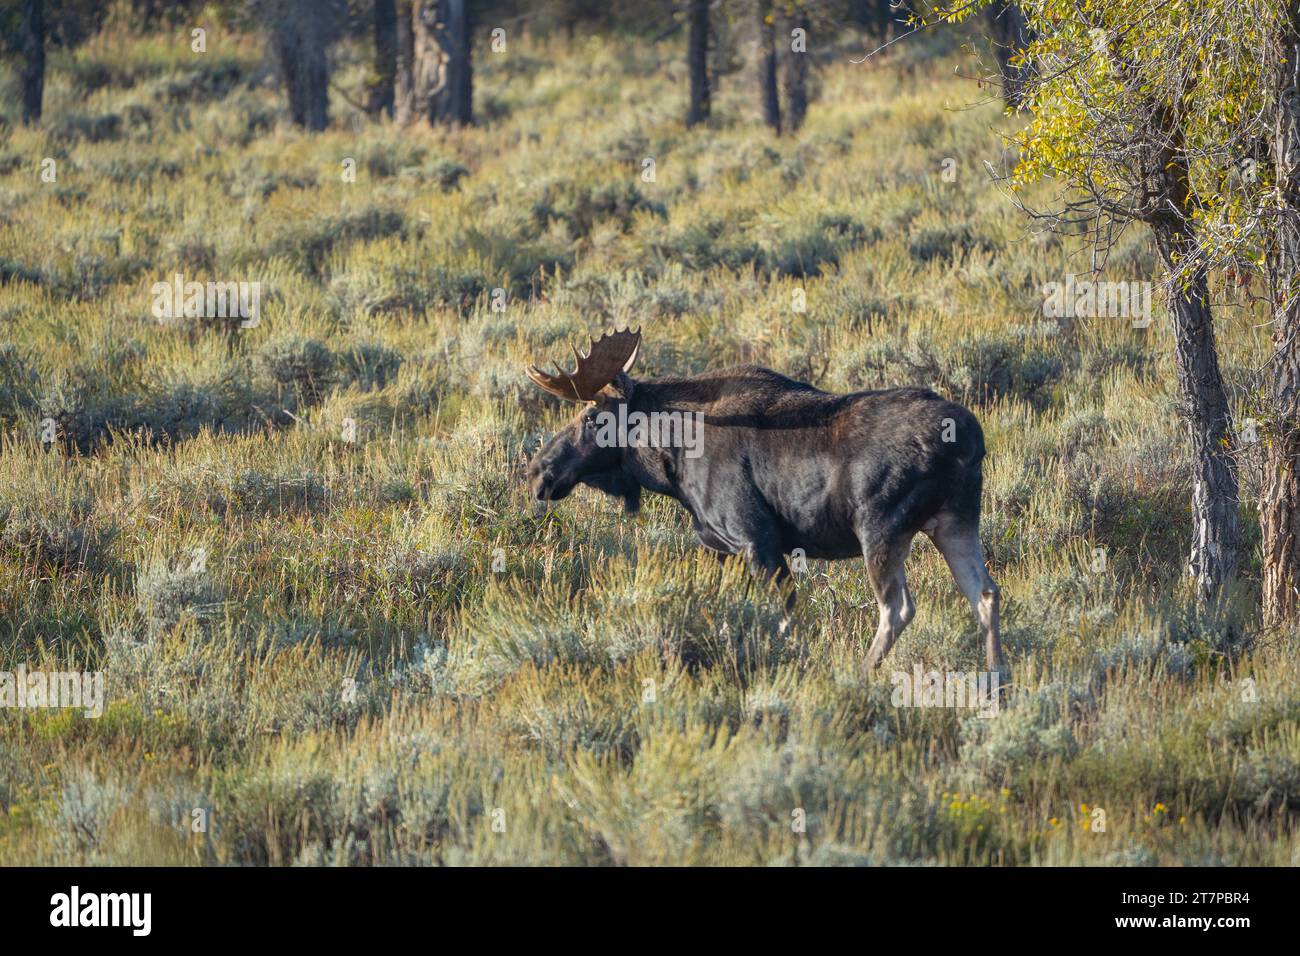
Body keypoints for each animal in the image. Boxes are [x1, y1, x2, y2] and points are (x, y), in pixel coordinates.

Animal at [524, 328, 1003, 672]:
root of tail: (969, 439)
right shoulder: (722, 546)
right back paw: (996, 683)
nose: (539, 471)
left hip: (881, 528)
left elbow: (785, 617)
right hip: (955, 521)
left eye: (591, 416)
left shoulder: (757, 538)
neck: (671, 459)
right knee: (985, 593)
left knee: (897, 608)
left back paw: (861, 673)